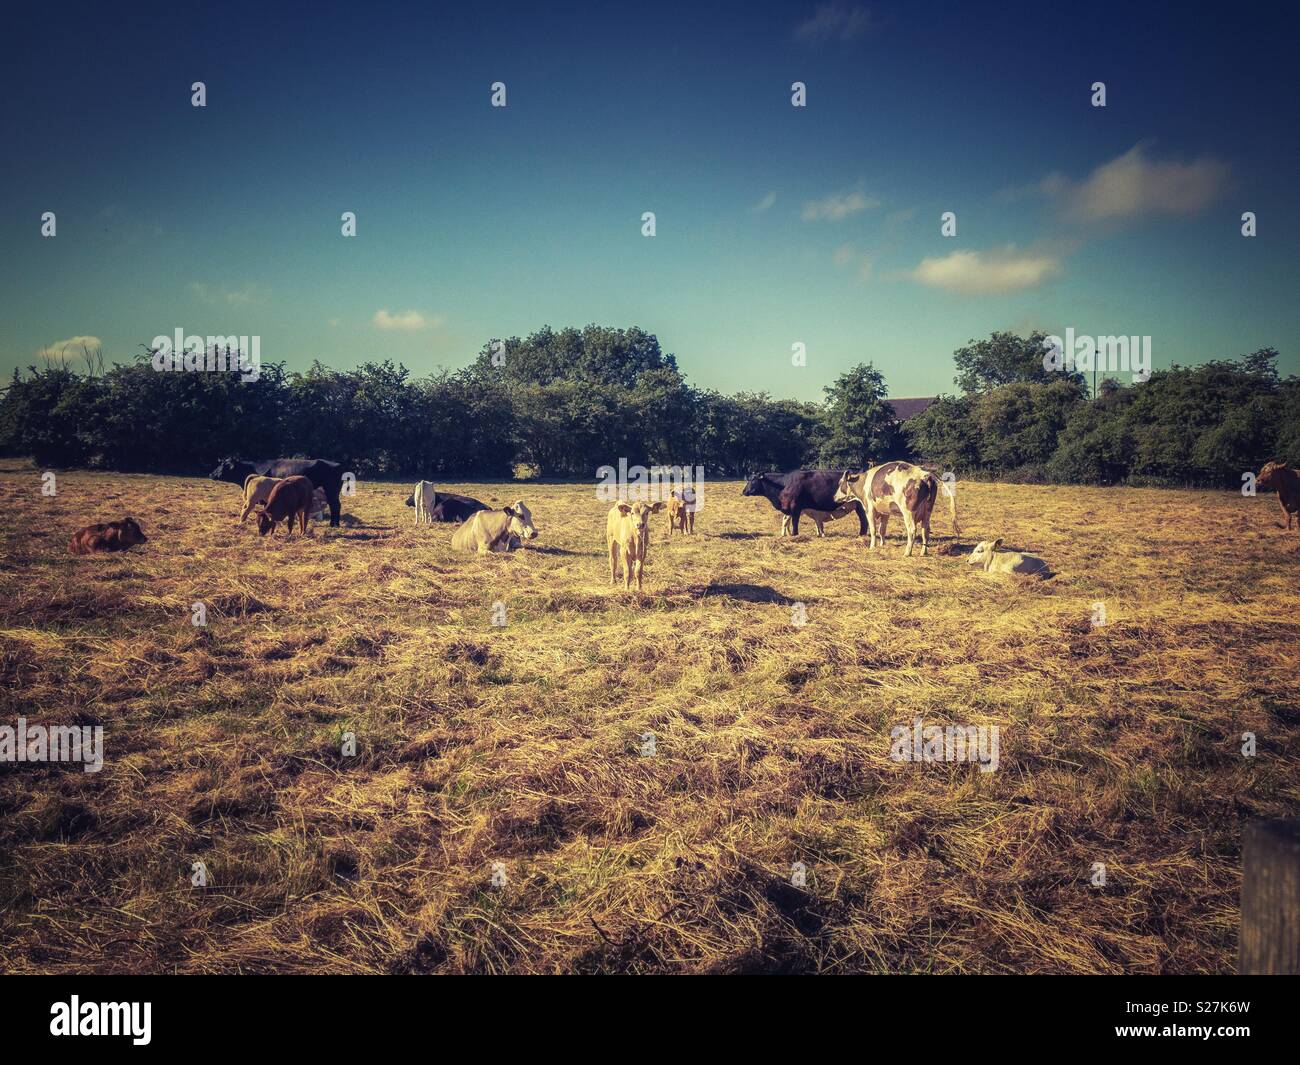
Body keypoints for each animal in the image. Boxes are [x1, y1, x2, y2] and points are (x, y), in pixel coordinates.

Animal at [210, 457, 345, 526]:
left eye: (224, 466)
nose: (211, 474)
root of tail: (338, 464)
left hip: (331, 491)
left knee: (335, 506)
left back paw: (334, 524)